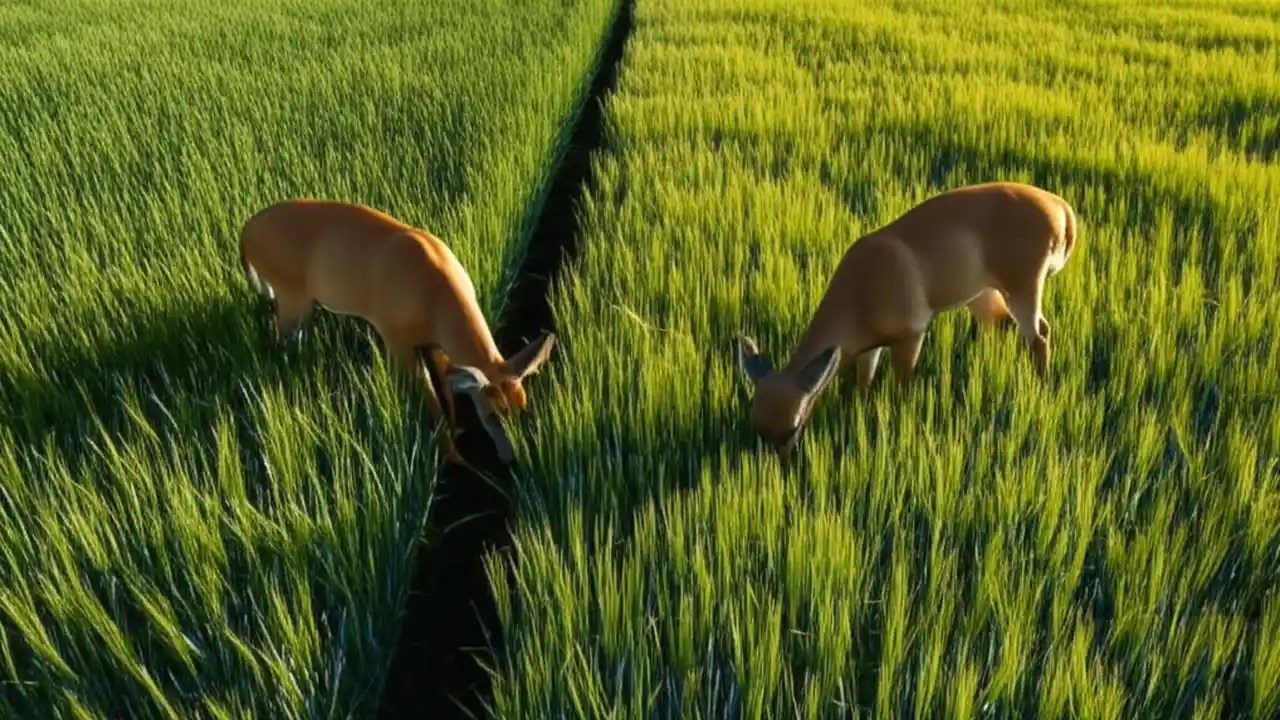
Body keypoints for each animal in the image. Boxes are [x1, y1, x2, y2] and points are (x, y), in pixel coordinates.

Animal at [238, 198, 556, 464]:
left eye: (524, 408)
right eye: (492, 414)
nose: (511, 458)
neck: (435, 299)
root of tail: (245, 232)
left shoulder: (434, 342)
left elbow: (445, 387)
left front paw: (457, 433)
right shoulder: (394, 336)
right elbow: (428, 394)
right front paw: (453, 457)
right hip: (290, 294)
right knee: (280, 339)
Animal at [736, 181, 1078, 455]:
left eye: (792, 429)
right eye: (756, 428)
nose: (779, 465)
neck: (858, 298)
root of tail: (1063, 211)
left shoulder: (912, 331)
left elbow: (901, 386)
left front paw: (896, 421)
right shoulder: (870, 344)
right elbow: (864, 381)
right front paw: (861, 409)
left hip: (1023, 281)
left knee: (1039, 335)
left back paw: (1041, 383)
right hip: (981, 291)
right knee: (1002, 325)